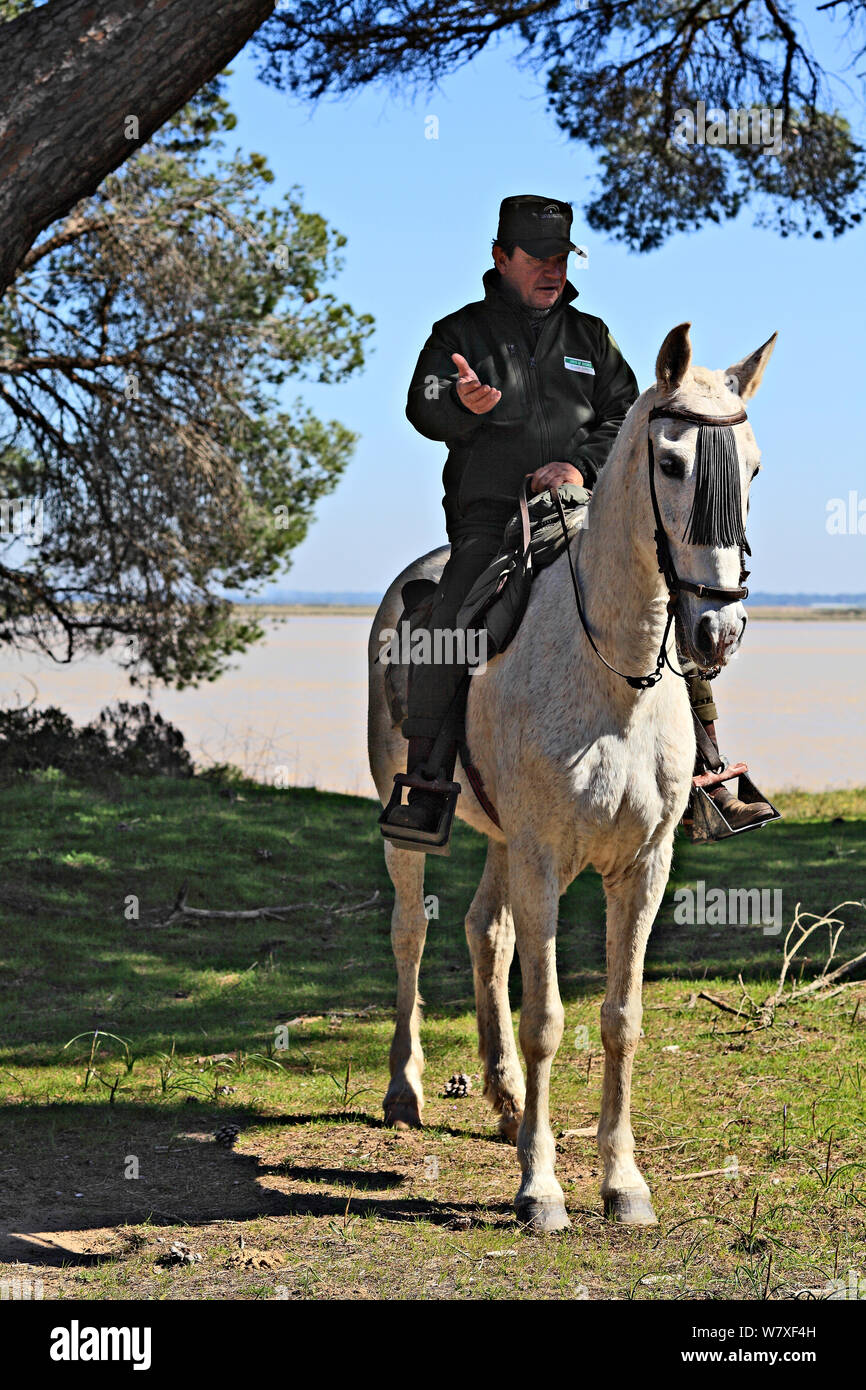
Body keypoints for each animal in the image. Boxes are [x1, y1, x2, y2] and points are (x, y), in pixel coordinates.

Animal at [367, 322, 776, 1231]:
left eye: (755, 467)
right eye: (672, 463)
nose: (718, 630)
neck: (611, 674)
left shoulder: (642, 866)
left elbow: (621, 1019)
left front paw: (622, 1184)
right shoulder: (545, 859)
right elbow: (547, 1019)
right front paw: (541, 1190)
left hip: (502, 840)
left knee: (485, 932)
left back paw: (506, 1100)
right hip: (409, 820)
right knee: (410, 933)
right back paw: (406, 1090)